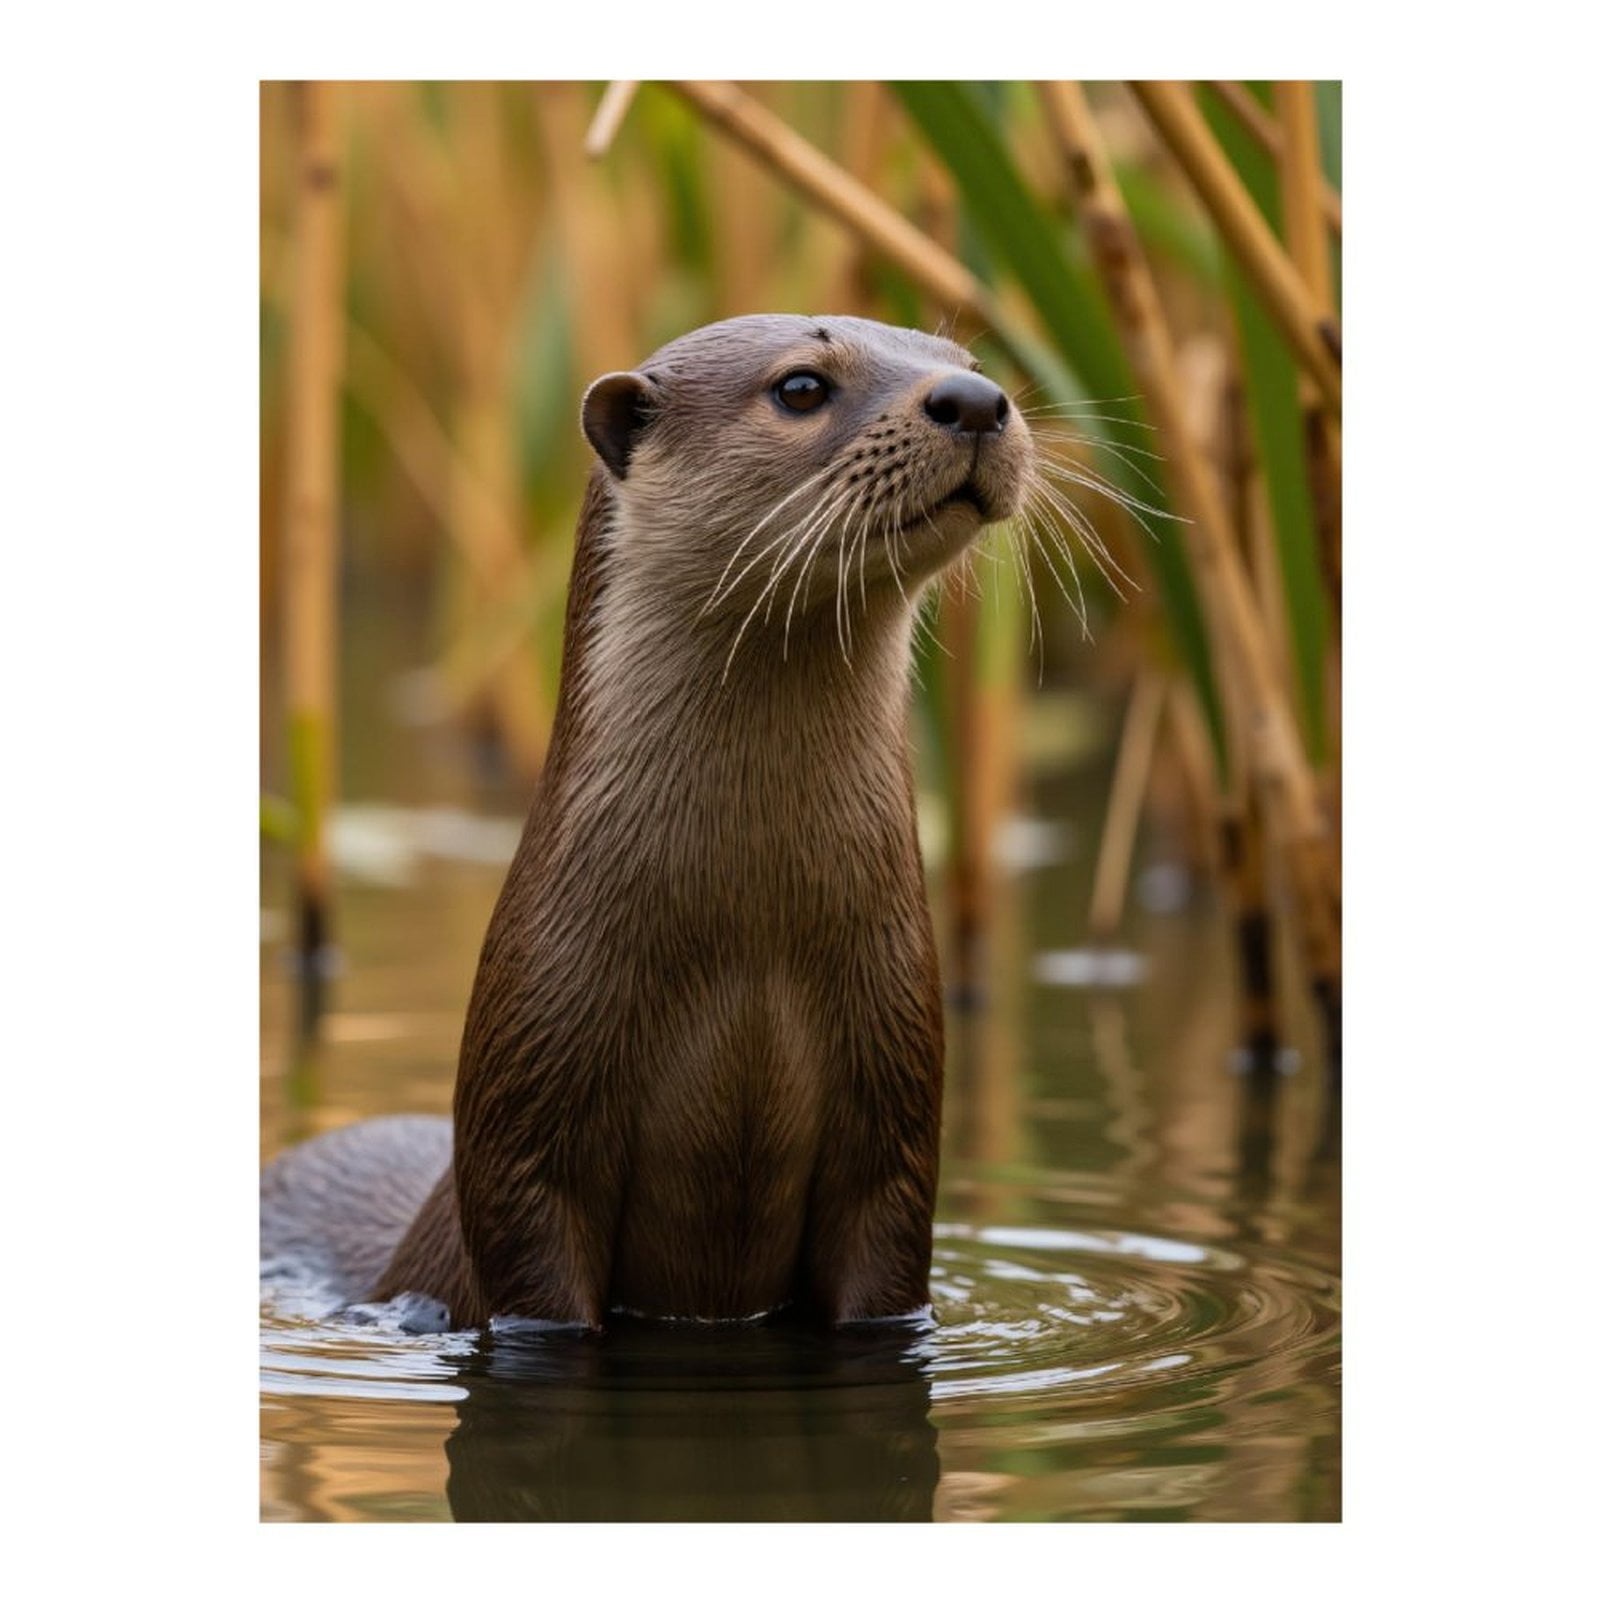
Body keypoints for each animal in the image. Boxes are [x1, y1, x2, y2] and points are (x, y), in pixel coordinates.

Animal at [261, 314, 1034, 1331]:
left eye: (976, 366)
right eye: (800, 386)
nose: (977, 403)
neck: (749, 931)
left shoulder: (899, 1121)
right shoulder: (524, 1142)